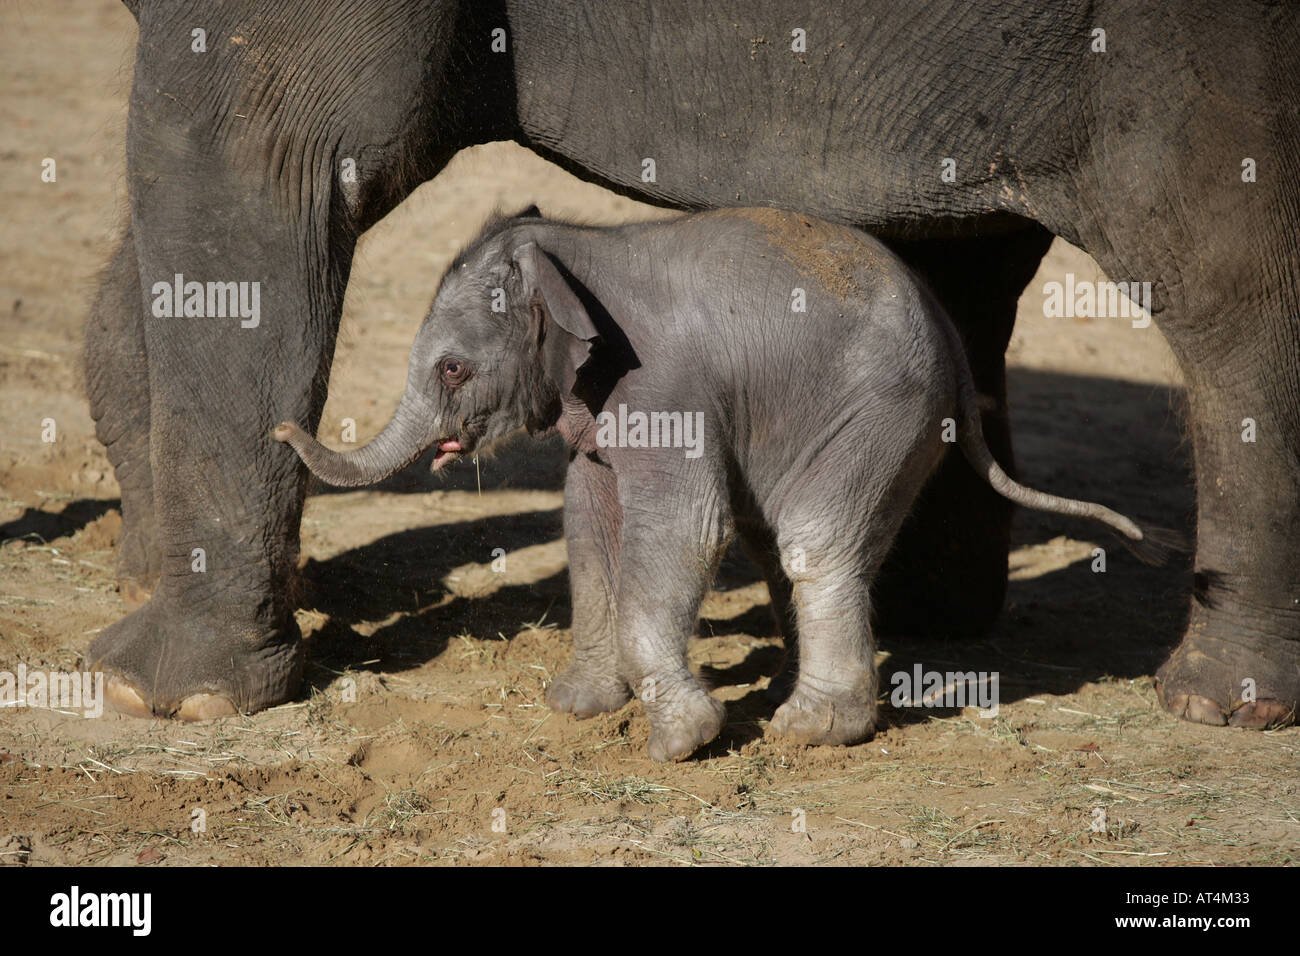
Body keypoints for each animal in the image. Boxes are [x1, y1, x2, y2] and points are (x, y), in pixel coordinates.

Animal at [274, 207, 1172, 760]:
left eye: (454, 368)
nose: (284, 429)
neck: (574, 246)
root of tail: (952, 341)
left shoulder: (662, 387)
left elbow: (685, 529)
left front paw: (682, 741)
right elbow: (588, 529)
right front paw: (577, 706)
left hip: (884, 412)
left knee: (812, 541)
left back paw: (809, 728)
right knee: (777, 541)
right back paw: (788, 692)